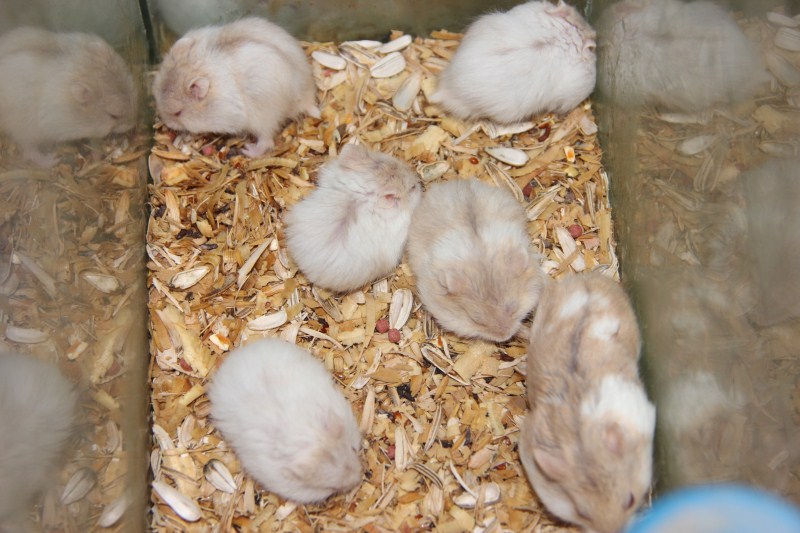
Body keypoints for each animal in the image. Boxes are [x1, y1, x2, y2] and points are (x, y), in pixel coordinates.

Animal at [0, 27, 137, 167]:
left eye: (132, 94)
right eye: (114, 116)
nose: (133, 125)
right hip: (24, 130)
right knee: (29, 151)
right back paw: (52, 160)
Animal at [152, 17, 318, 158]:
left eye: (178, 113)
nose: (166, 123)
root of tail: (306, 97)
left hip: (264, 119)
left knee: (266, 141)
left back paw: (248, 150)